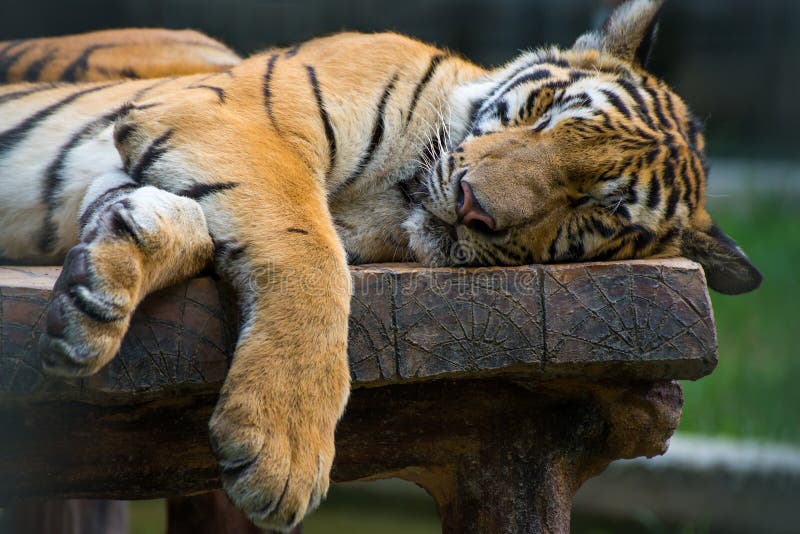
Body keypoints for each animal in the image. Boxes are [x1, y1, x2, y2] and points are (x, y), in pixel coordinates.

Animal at [0, 0, 761, 530]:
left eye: (592, 210)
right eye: (546, 113)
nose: (473, 204)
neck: (393, 199)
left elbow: (183, 224)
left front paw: (95, 293)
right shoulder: (227, 111)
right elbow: (308, 248)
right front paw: (282, 450)